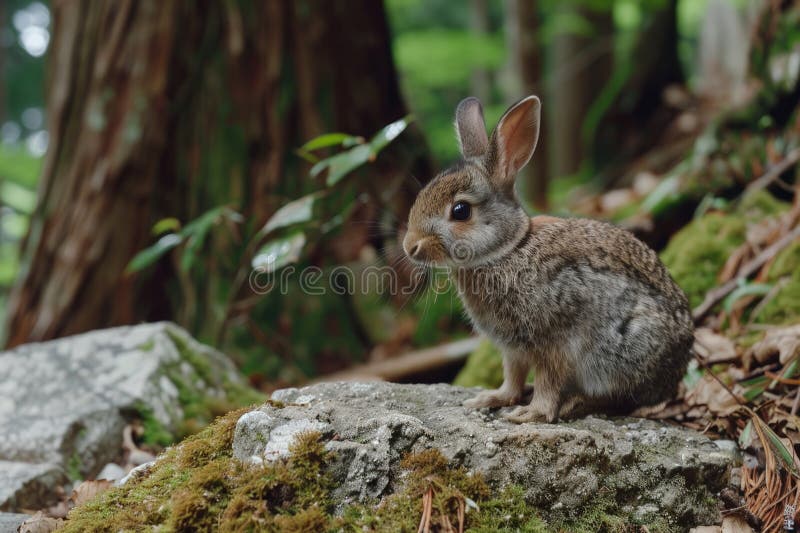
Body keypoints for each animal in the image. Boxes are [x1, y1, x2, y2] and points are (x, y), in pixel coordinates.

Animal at [402, 95, 694, 423]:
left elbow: (548, 380)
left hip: (618, 353)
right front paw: (492, 398)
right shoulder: (513, 349)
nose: (410, 246)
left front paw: (530, 414)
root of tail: (675, 374)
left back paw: (575, 403)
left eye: (461, 211)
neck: (508, 249)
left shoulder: (554, 343)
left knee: (619, 398)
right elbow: (513, 375)